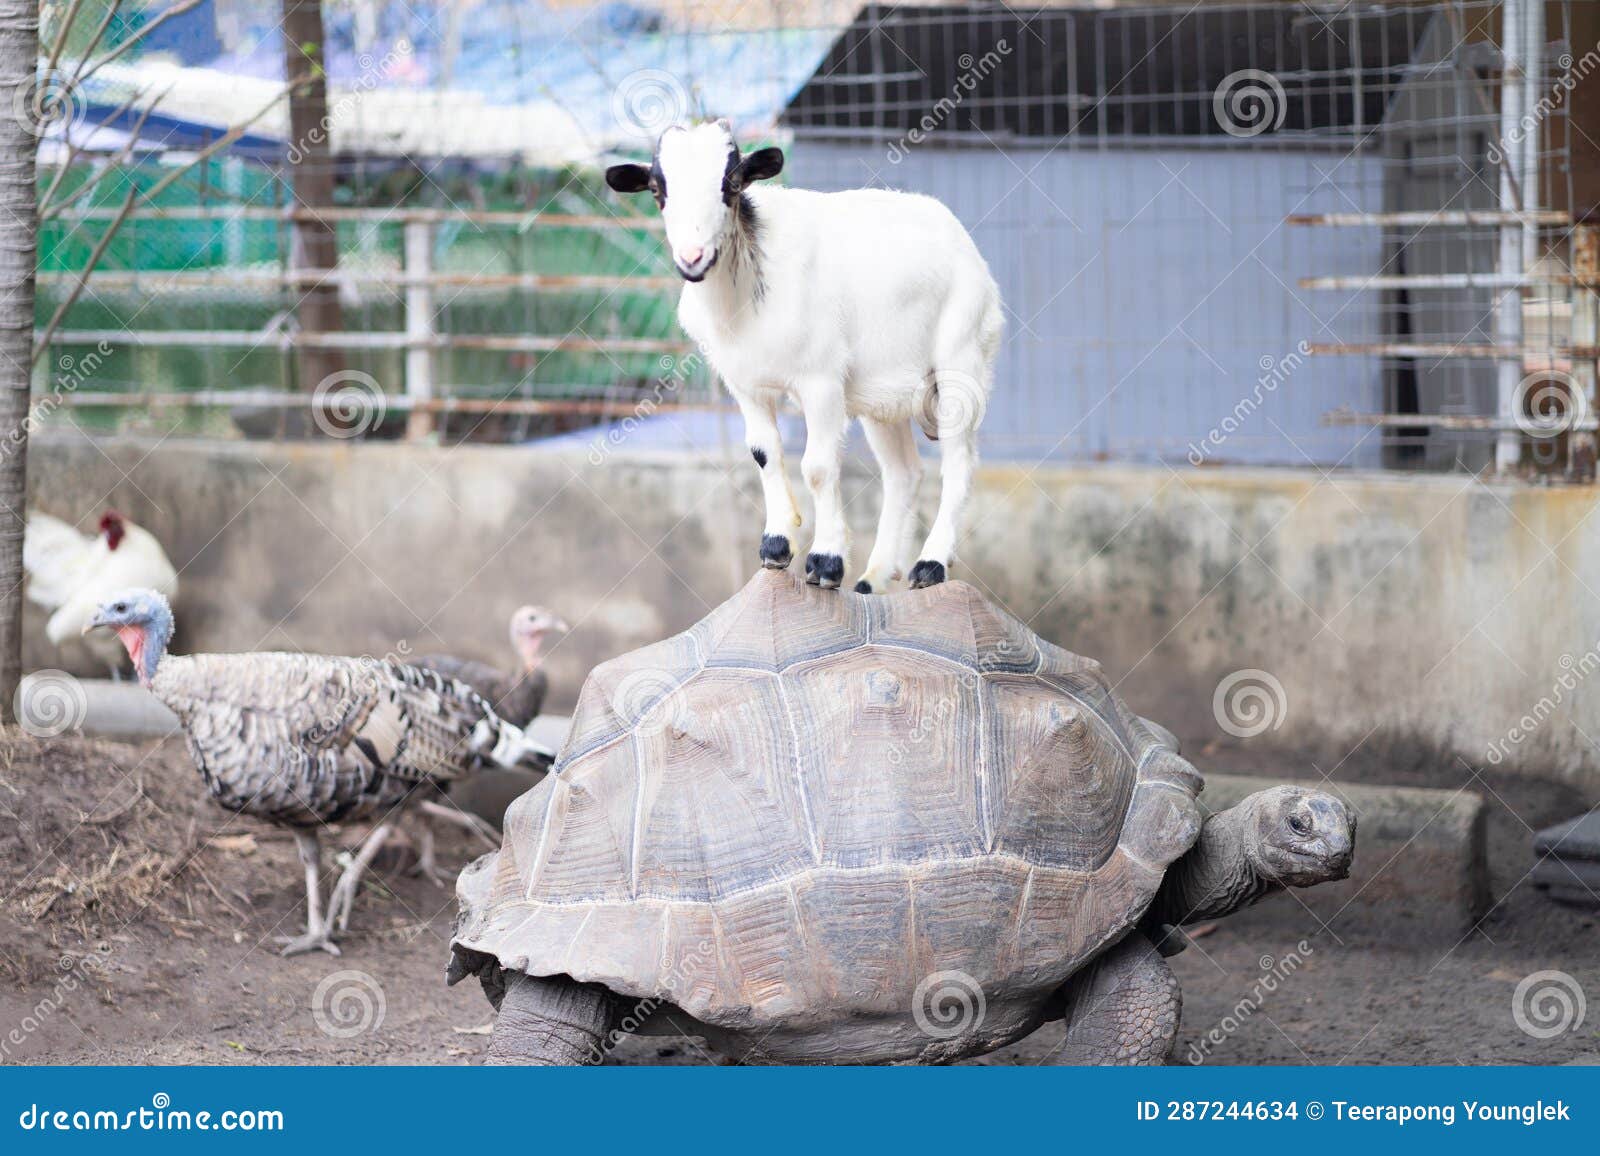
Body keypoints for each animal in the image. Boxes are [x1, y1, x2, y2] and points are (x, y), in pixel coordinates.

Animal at [606, 121, 1003, 592]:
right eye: (656, 190)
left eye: (731, 183)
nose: (692, 258)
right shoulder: (744, 384)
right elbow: (763, 453)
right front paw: (776, 548)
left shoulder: (821, 380)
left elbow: (817, 466)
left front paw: (826, 562)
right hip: (882, 392)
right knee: (904, 471)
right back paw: (872, 580)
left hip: (961, 355)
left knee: (959, 461)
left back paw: (930, 565)